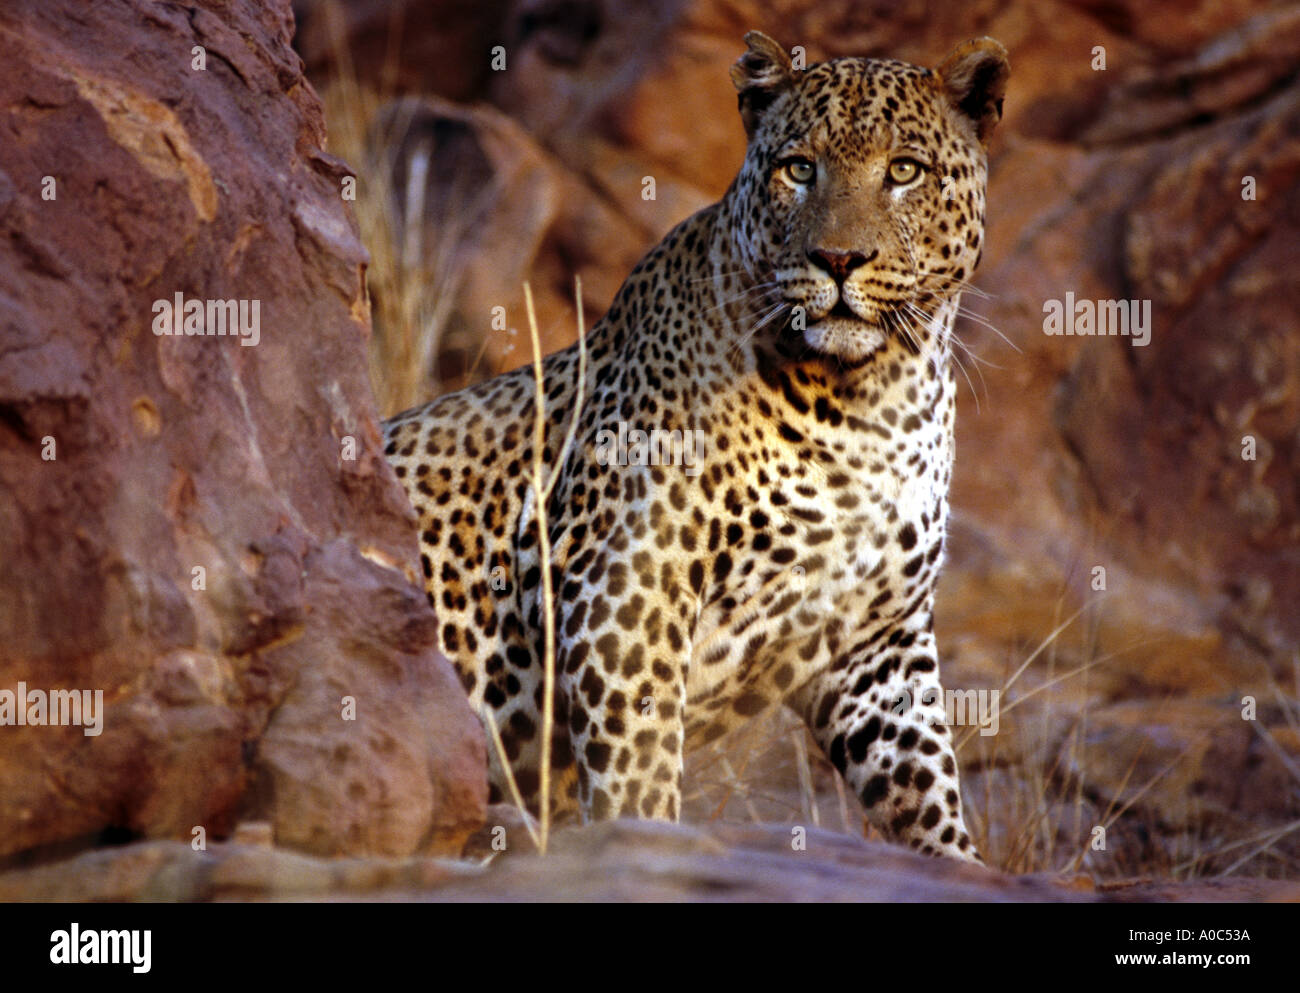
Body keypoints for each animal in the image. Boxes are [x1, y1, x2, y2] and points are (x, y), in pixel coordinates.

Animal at [383, 31, 1009, 861]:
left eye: (904, 171)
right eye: (798, 168)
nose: (839, 260)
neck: (873, 398)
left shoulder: (879, 644)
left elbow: (926, 784)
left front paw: (960, 865)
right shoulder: (624, 589)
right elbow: (641, 777)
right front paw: (644, 849)